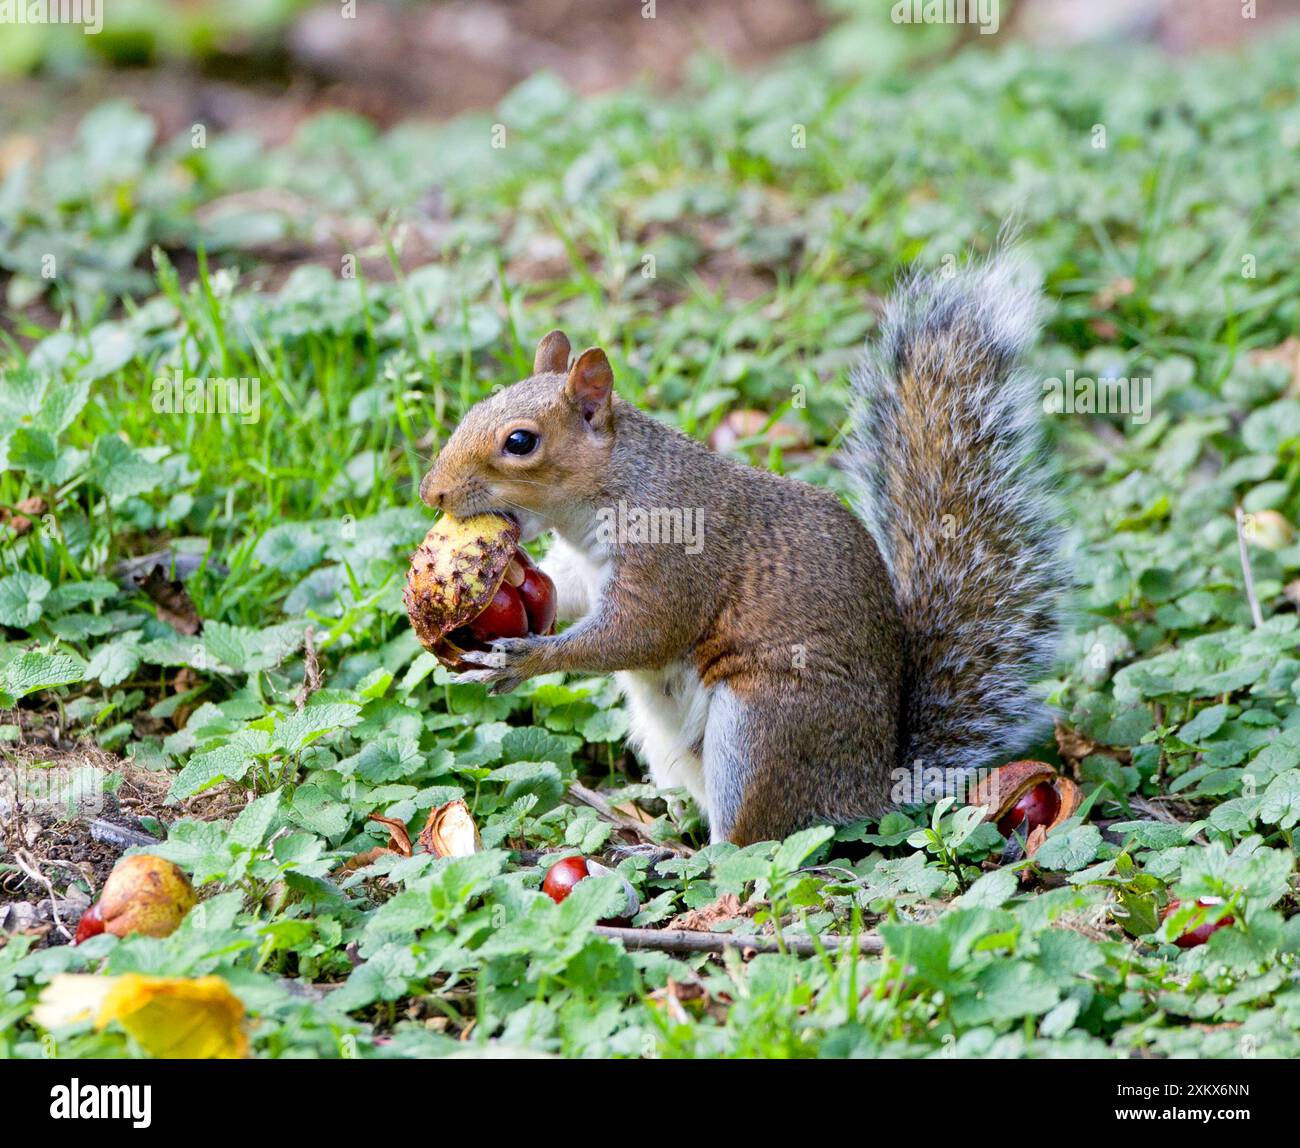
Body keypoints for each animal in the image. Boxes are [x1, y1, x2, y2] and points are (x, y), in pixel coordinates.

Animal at [418, 254, 1065, 845]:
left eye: (520, 442)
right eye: (478, 406)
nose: (431, 491)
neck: (614, 487)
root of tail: (871, 786)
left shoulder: (672, 557)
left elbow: (641, 634)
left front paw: (523, 659)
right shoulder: (584, 567)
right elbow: (568, 593)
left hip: (762, 728)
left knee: (751, 840)